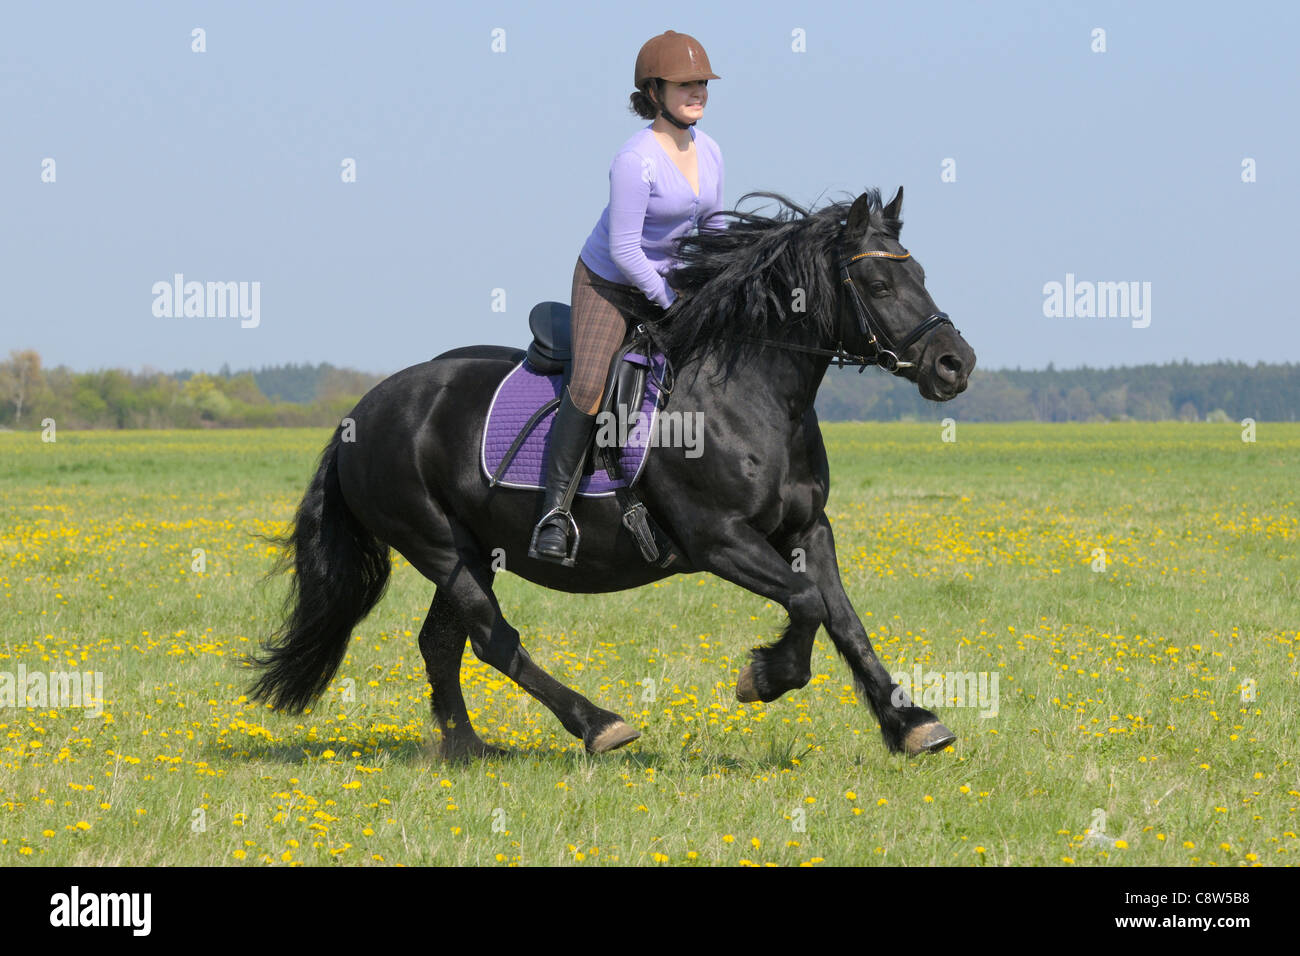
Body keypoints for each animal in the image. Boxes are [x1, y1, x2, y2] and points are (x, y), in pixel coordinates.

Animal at [247, 186, 976, 760]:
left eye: (921, 274)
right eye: (877, 285)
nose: (955, 363)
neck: (751, 395)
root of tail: (360, 413)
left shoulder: (807, 529)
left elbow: (843, 618)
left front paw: (913, 724)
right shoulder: (718, 538)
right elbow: (807, 603)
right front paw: (765, 679)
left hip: (473, 548)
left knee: (442, 644)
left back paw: (468, 747)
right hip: (439, 546)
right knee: (492, 638)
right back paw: (597, 725)